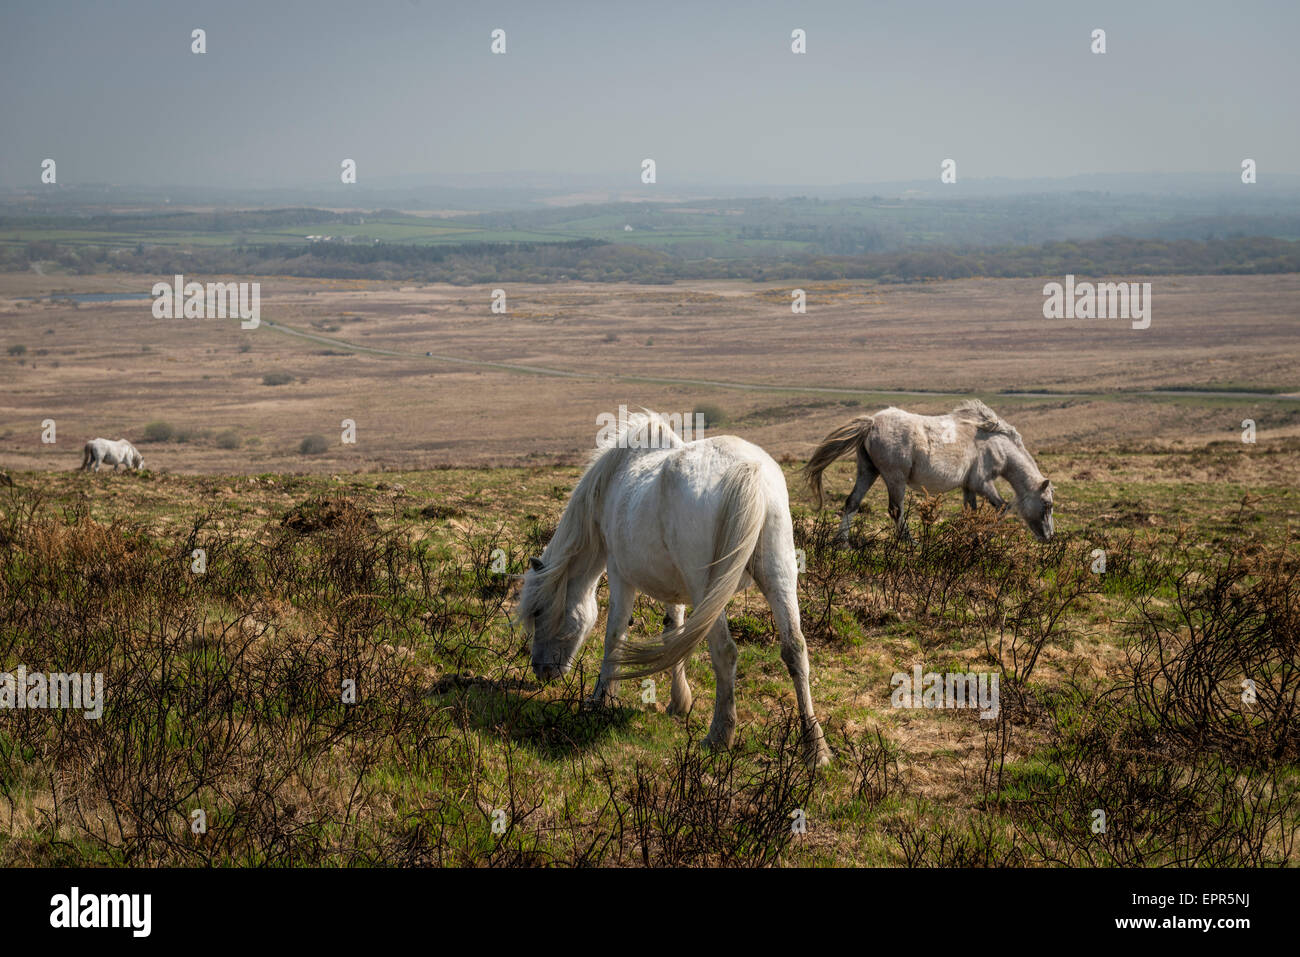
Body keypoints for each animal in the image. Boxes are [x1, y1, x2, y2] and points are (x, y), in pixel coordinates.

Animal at [515, 411, 831, 767]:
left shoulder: (620, 575)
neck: (613, 481)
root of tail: (746, 469)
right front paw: (679, 704)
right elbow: (674, 636)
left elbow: (614, 635)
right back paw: (815, 748)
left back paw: (719, 736)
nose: (541, 671)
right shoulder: (677, 594)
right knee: (795, 649)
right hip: (779, 577)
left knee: (725, 652)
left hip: (708, 589)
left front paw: (601, 698)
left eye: (538, 612)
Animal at [803, 399, 1054, 543]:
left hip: (867, 472)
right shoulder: (983, 483)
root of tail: (872, 423)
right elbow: (1002, 507)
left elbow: (970, 512)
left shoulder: (968, 487)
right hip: (894, 478)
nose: (1050, 537)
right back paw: (910, 543)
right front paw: (984, 538)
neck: (996, 443)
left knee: (852, 502)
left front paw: (972, 538)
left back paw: (842, 543)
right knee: (895, 509)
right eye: (1047, 504)